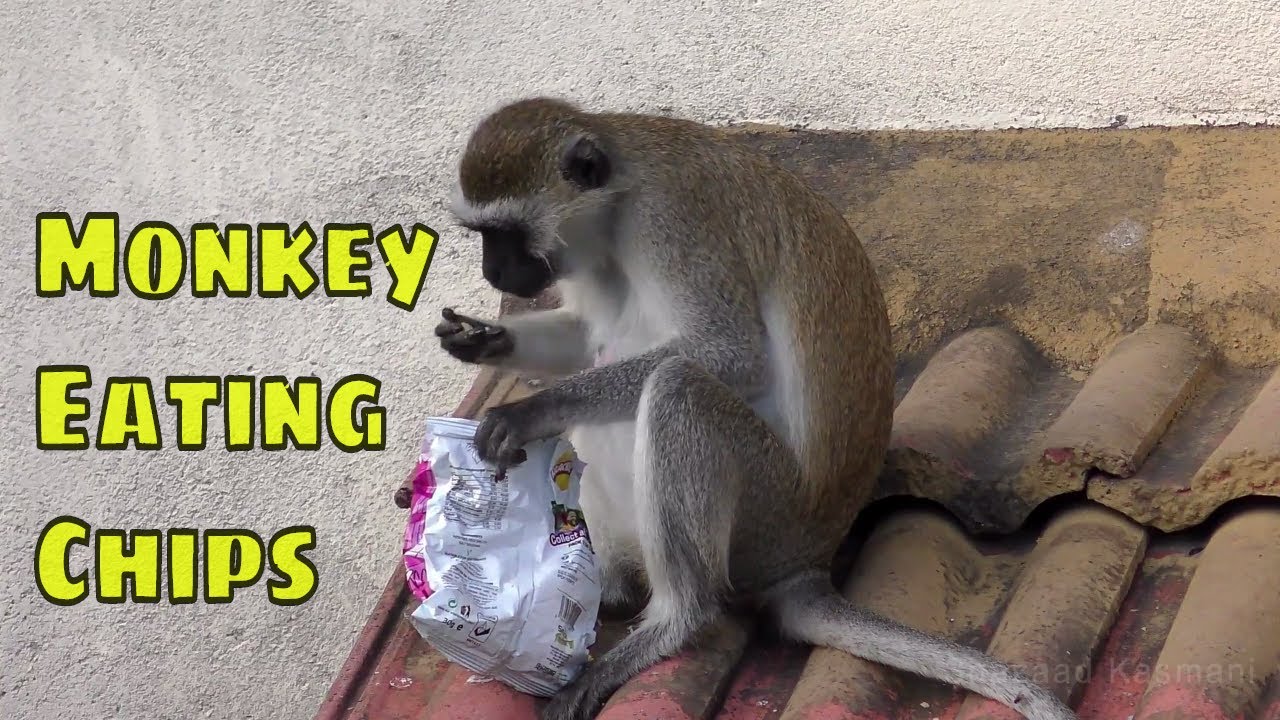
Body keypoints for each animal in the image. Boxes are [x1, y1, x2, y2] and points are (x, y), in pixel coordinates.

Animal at [434, 97, 1075, 720]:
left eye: (508, 231)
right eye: (484, 234)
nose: (493, 271)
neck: (613, 211)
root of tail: (806, 560)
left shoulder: (673, 220)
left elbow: (732, 355)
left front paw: (531, 410)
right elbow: (584, 336)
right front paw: (484, 340)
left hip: (769, 512)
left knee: (676, 387)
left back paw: (673, 622)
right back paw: (606, 589)